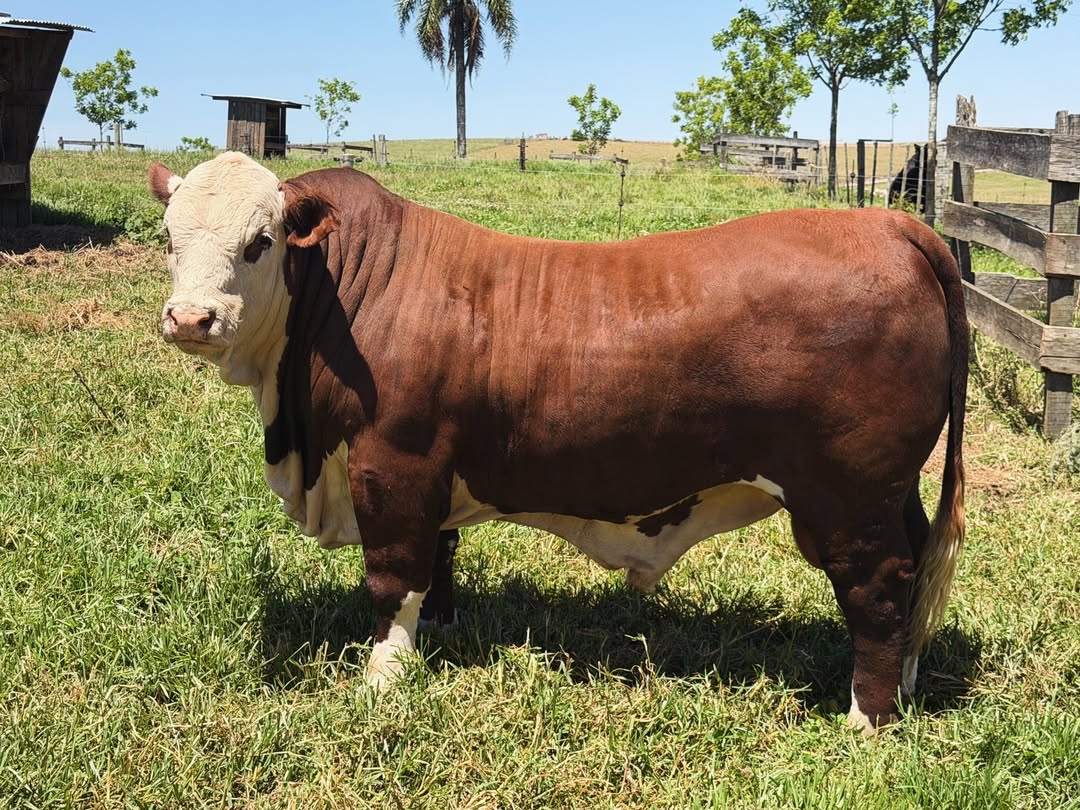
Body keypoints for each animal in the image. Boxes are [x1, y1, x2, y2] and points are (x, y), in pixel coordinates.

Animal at [148, 151, 967, 733]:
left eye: (260, 242)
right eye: (168, 240)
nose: (189, 318)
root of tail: (890, 226)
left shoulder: (394, 466)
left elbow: (392, 577)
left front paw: (384, 679)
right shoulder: (434, 474)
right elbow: (439, 558)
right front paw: (439, 631)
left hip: (847, 495)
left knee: (878, 585)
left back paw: (867, 719)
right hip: (890, 489)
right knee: (916, 567)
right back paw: (907, 684)